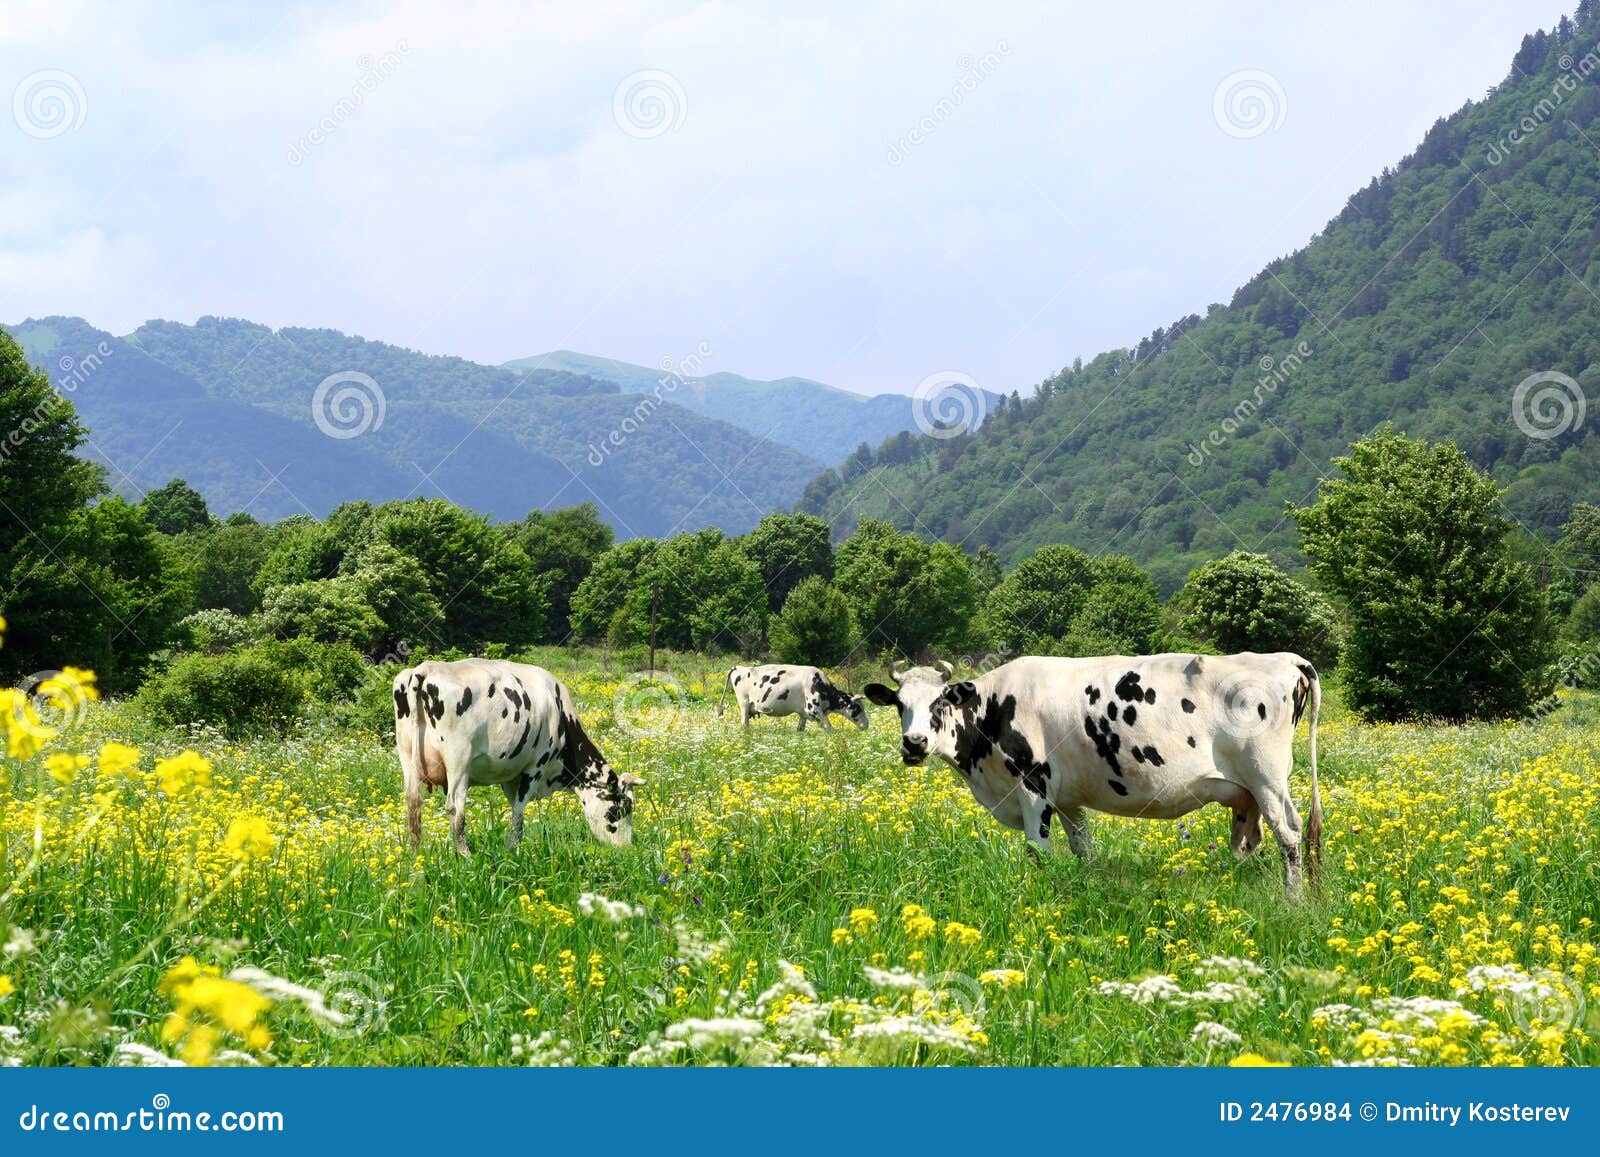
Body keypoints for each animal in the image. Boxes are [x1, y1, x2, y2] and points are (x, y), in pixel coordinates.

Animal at [393, 658, 641, 856]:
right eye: (621, 808)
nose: (626, 850)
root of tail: (427, 668)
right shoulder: (535, 766)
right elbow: (519, 813)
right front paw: (512, 850)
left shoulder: (510, 775)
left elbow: (515, 810)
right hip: (458, 760)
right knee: (455, 809)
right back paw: (467, 857)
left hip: (406, 755)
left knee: (413, 804)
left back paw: (416, 859)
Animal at [717, 664, 869, 731]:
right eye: (858, 708)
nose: (866, 725)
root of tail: (739, 667)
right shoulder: (814, 709)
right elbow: (829, 728)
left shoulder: (804, 713)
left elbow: (800, 729)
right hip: (743, 703)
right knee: (744, 724)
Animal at [863, 653, 1322, 895]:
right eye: (899, 704)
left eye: (940, 702)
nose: (914, 743)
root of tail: (1285, 658)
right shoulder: (1067, 800)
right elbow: (1083, 849)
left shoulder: (1033, 789)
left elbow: (1037, 852)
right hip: (1248, 793)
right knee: (1251, 840)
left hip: (1267, 778)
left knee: (1289, 835)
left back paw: (1293, 899)